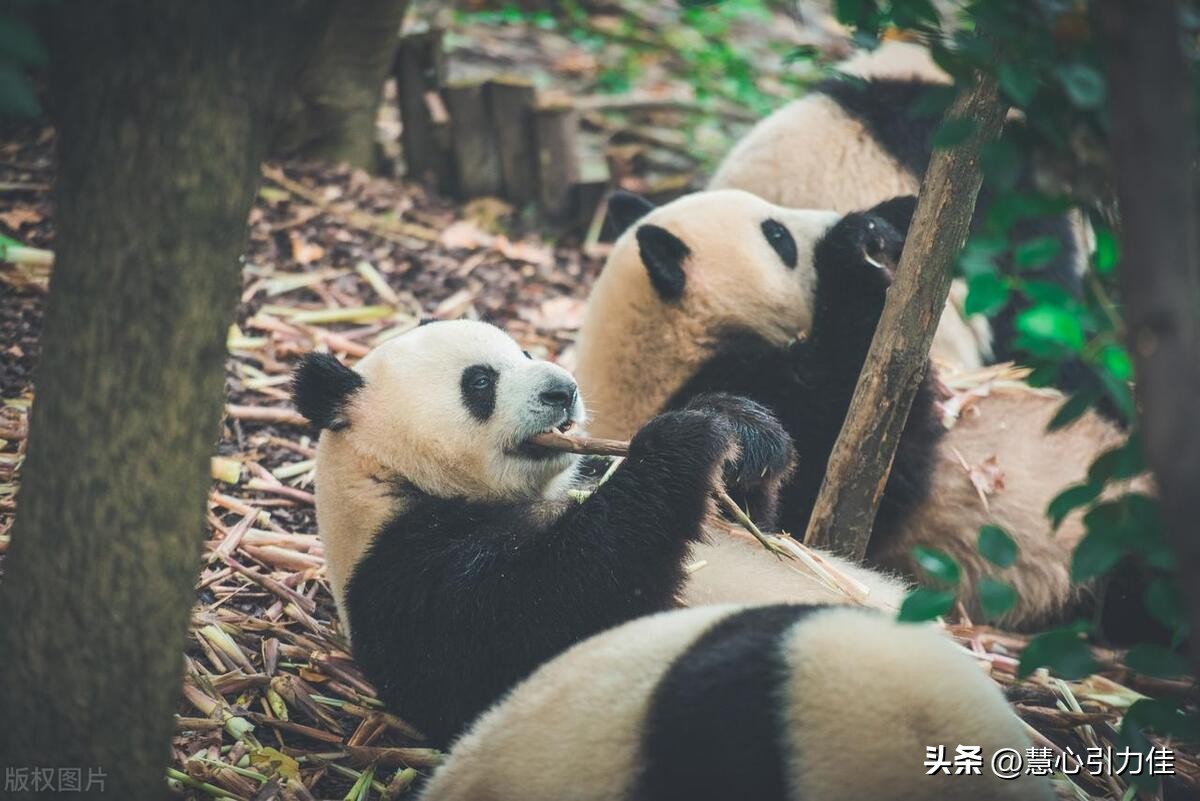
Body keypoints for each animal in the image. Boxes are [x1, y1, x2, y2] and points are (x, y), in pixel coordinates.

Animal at [291, 320, 908, 745]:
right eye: (480, 382)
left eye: (525, 352)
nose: (562, 390)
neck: (394, 478)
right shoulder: (402, 572)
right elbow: (544, 609)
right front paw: (678, 441)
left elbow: (752, 523)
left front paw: (742, 429)